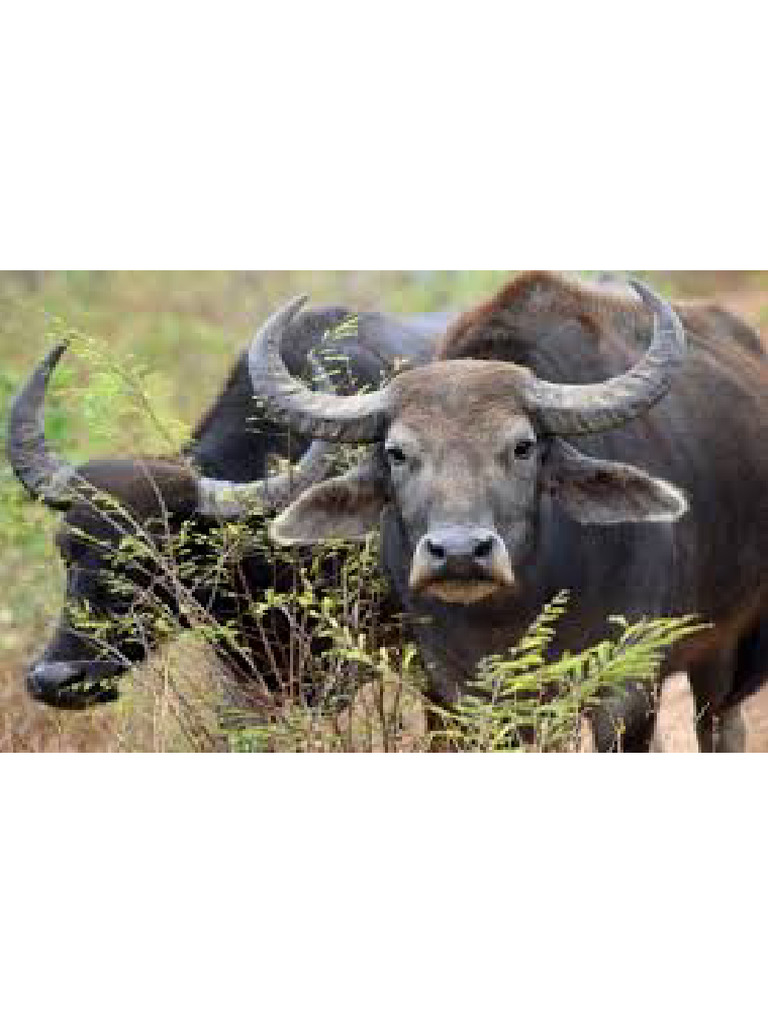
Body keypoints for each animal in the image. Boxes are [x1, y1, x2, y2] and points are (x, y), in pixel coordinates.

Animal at [250, 275, 767, 752]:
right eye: (397, 453)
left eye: (523, 446)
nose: (459, 553)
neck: (510, 616)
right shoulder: (455, 691)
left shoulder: (627, 685)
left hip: (725, 653)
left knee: (720, 727)